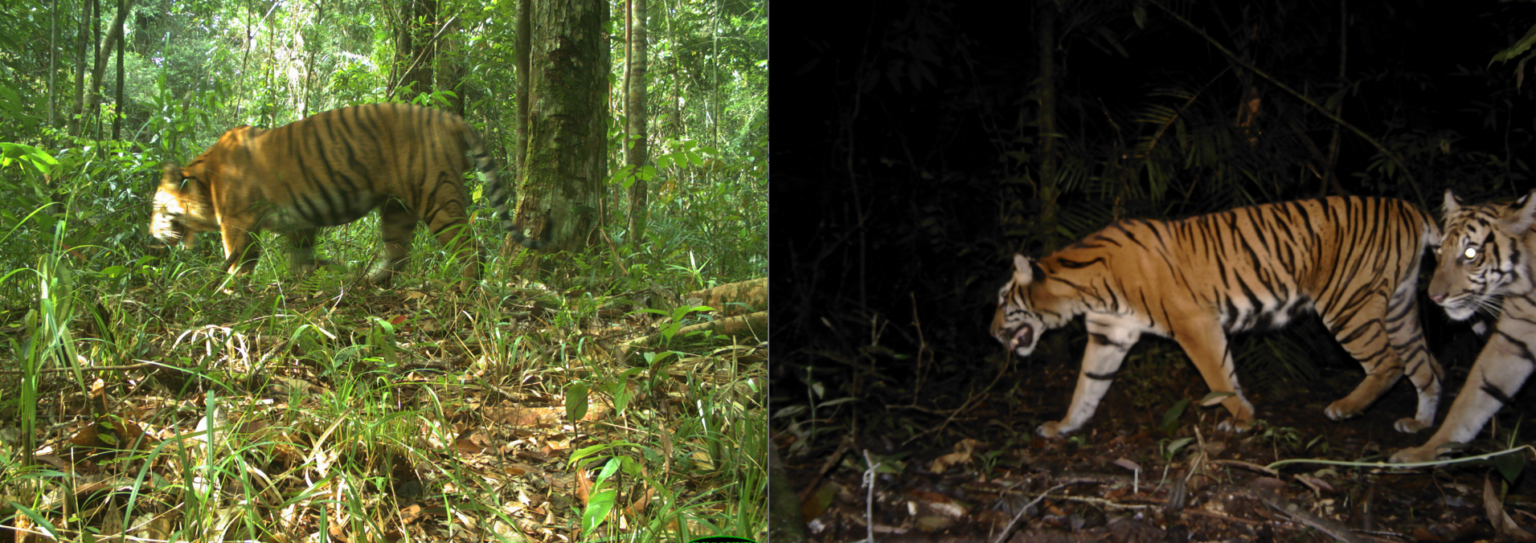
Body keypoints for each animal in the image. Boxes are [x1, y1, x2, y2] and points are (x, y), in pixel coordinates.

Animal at [149, 103, 547, 291]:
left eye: (157, 208)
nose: (151, 236)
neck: (206, 181)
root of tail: (450, 118)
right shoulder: (300, 224)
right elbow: (301, 259)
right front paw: (308, 282)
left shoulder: (238, 224)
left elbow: (237, 262)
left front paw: (229, 291)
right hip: (396, 208)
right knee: (398, 253)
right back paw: (368, 282)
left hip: (436, 193)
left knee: (471, 248)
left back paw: (462, 291)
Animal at [991, 196, 1444, 438]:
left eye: (1002, 299)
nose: (992, 332)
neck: (1086, 290)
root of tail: (1410, 208)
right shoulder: (1110, 335)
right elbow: (1087, 386)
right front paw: (1064, 426)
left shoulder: (1194, 323)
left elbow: (1219, 378)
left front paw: (1241, 421)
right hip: (1398, 308)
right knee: (1429, 367)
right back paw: (1419, 424)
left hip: (1349, 303)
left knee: (1390, 363)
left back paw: (1344, 408)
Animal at [1391, 190, 1536, 463]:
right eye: (1438, 251)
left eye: (1470, 253)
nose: (1434, 297)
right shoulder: (1513, 339)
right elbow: (1472, 398)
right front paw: (1426, 451)